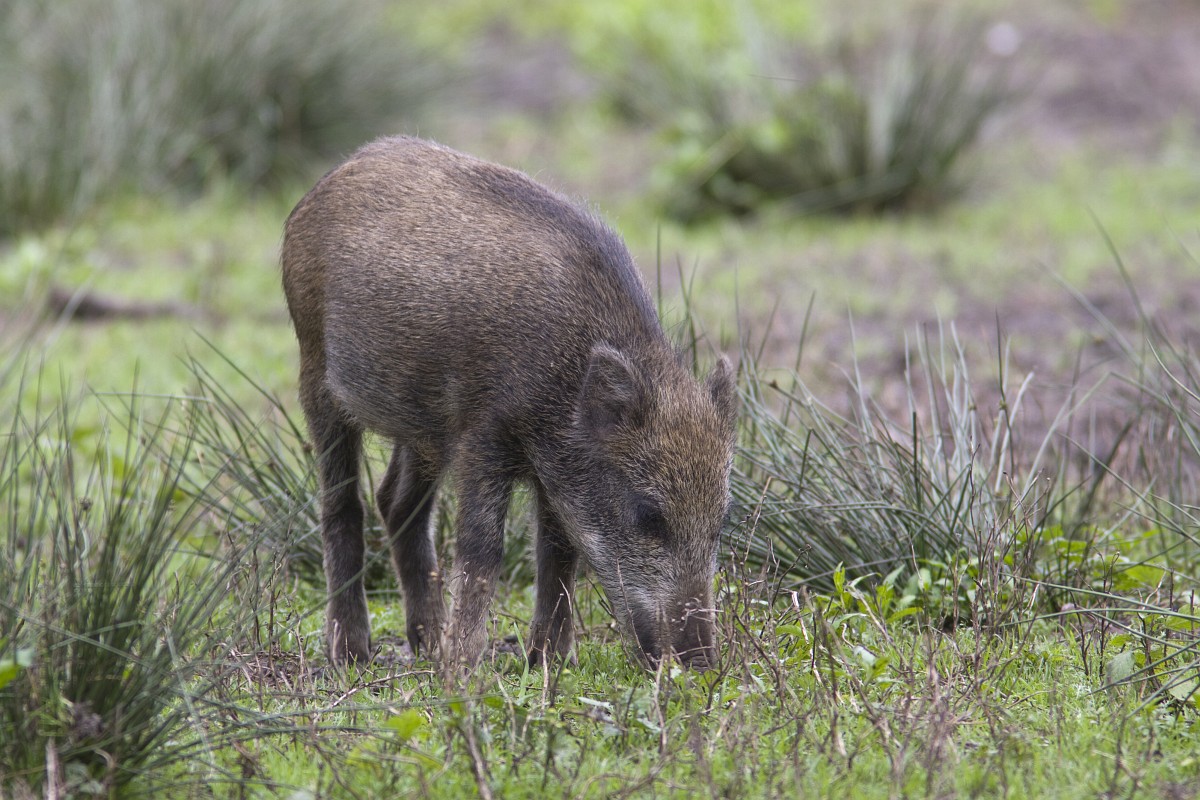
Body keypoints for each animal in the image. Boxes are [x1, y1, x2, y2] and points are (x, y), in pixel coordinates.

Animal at [281, 136, 737, 671]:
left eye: (720, 522)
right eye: (649, 515)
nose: (701, 667)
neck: (564, 383)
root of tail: (327, 181)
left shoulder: (554, 474)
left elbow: (558, 553)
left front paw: (548, 662)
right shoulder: (483, 437)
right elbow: (483, 550)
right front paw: (463, 670)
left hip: (423, 428)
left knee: (396, 502)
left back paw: (427, 645)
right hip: (316, 377)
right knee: (342, 505)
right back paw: (353, 654)